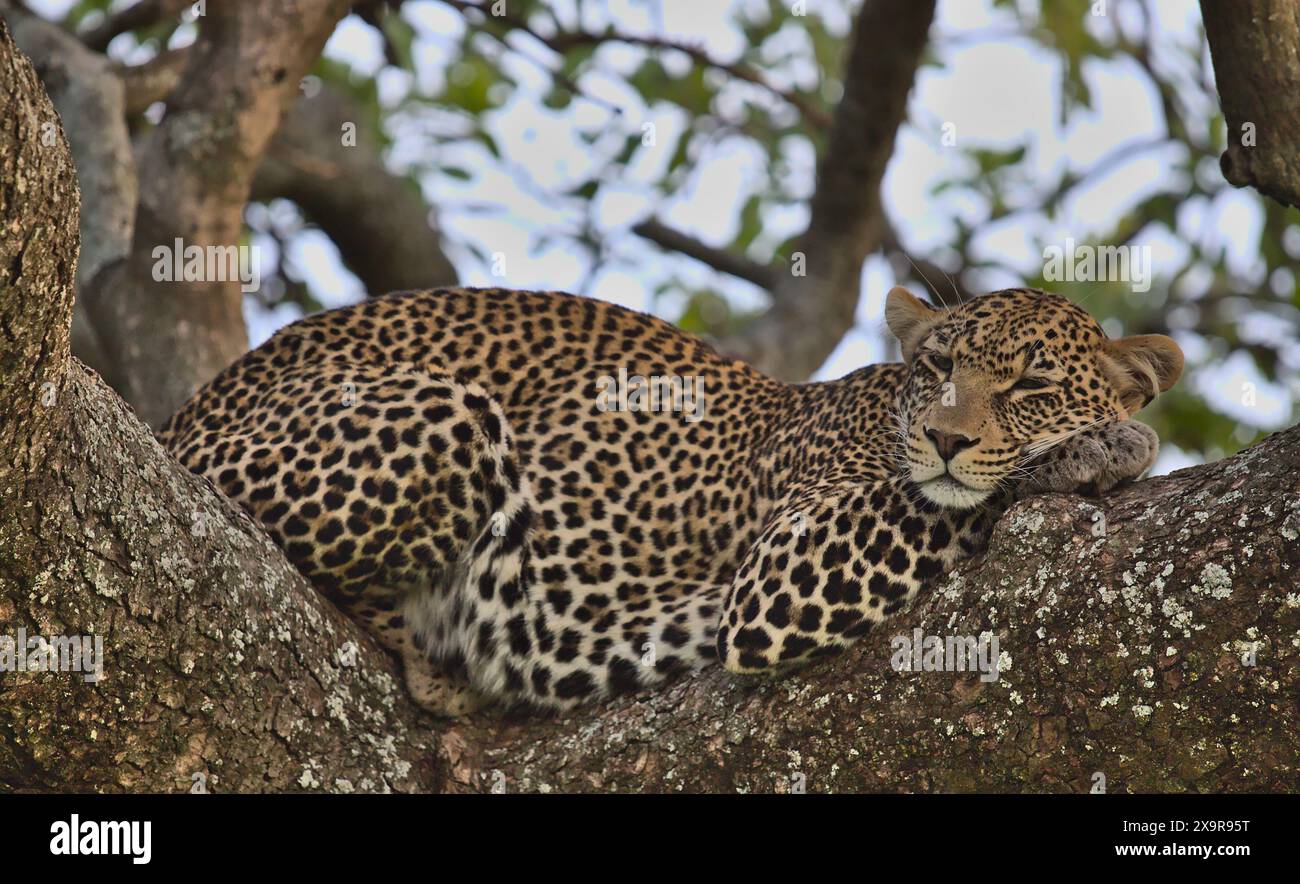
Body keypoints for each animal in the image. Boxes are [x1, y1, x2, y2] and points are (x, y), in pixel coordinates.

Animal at [159, 284, 1183, 716]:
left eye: (1031, 385)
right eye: (938, 368)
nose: (945, 436)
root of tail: (178, 417)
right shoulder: (780, 572)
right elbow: (940, 498)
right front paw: (1106, 445)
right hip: (449, 411)